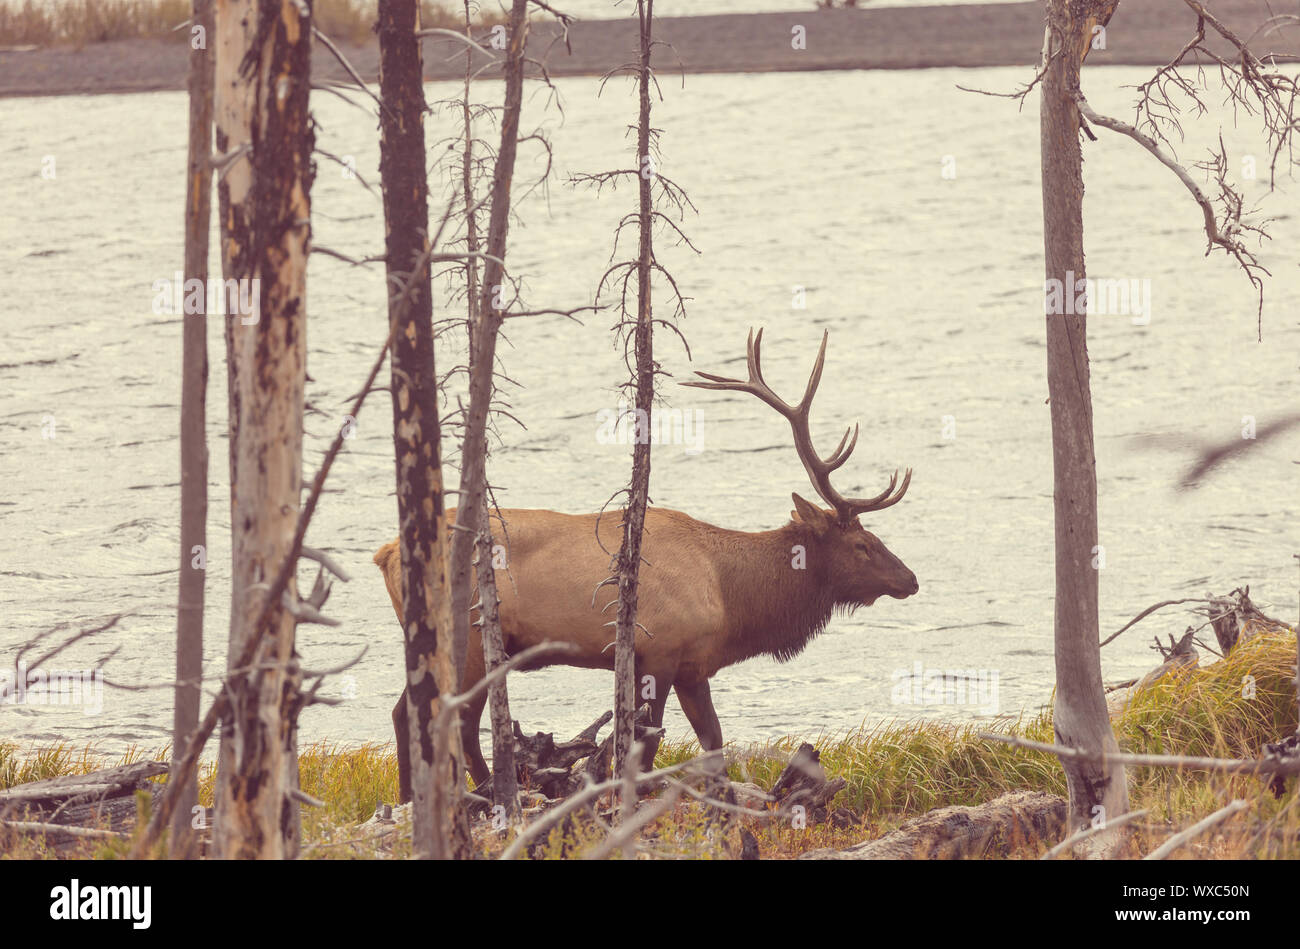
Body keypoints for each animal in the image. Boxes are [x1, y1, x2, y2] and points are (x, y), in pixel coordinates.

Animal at [374, 328, 918, 803]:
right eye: (862, 544)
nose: (910, 579)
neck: (732, 598)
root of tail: (386, 553)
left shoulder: (692, 665)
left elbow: (712, 742)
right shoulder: (659, 652)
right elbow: (646, 747)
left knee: (411, 712)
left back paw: (409, 799)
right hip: (468, 638)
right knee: (451, 722)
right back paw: (482, 795)